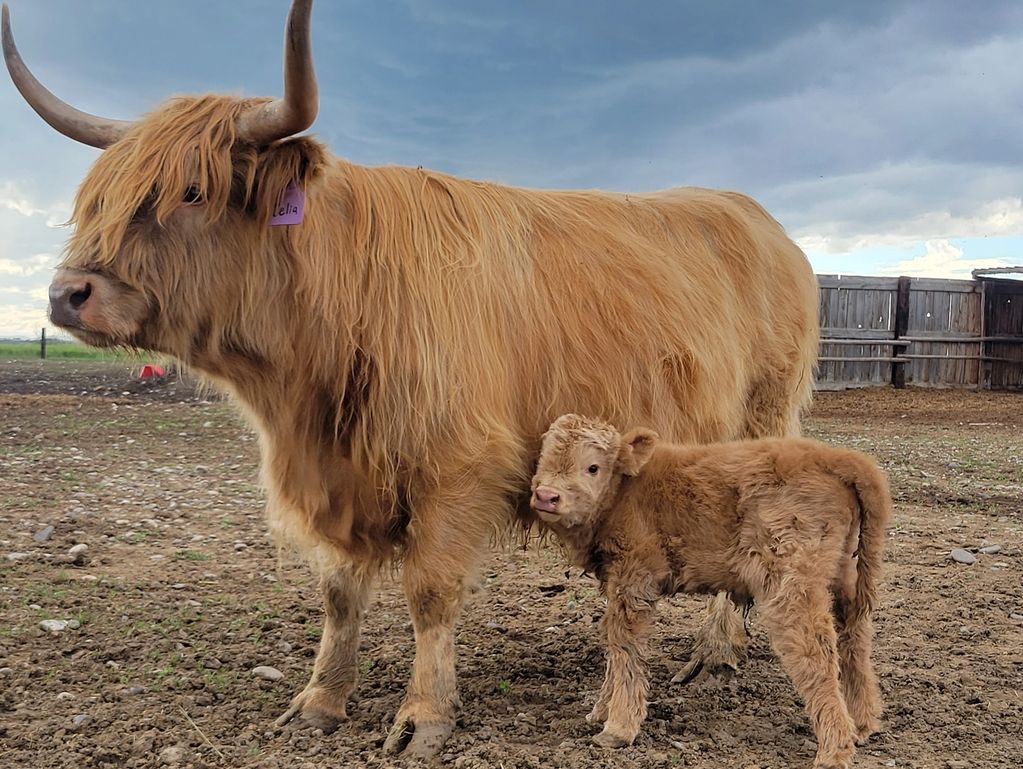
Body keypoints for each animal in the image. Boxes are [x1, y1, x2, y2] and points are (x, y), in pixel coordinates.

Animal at [3, 0, 819, 758]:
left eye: (193, 191)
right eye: (98, 196)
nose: (66, 293)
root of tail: (755, 214)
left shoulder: (457, 467)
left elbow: (429, 593)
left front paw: (422, 717)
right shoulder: (337, 473)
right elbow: (338, 594)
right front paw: (320, 701)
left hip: (761, 419)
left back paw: (716, 652)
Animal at [530, 415, 889, 768]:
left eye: (593, 467)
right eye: (542, 458)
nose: (546, 495)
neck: (626, 491)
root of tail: (834, 456)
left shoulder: (634, 581)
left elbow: (625, 646)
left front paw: (617, 728)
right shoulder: (616, 585)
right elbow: (612, 643)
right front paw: (600, 711)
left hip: (792, 588)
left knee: (817, 653)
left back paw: (833, 751)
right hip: (847, 579)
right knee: (855, 640)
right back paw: (862, 726)